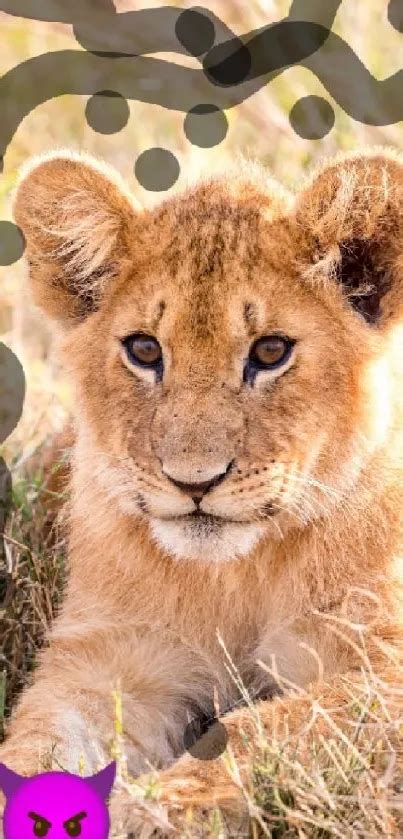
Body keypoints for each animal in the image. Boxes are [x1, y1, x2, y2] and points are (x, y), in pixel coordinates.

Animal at [0, 148, 402, 836]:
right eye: (144, 349)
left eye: (270, 351)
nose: (195, 481)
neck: (237, 576)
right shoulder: (109, 658)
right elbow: (40, 742)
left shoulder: (383, 671)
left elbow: (264, 731)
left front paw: (151, 810)